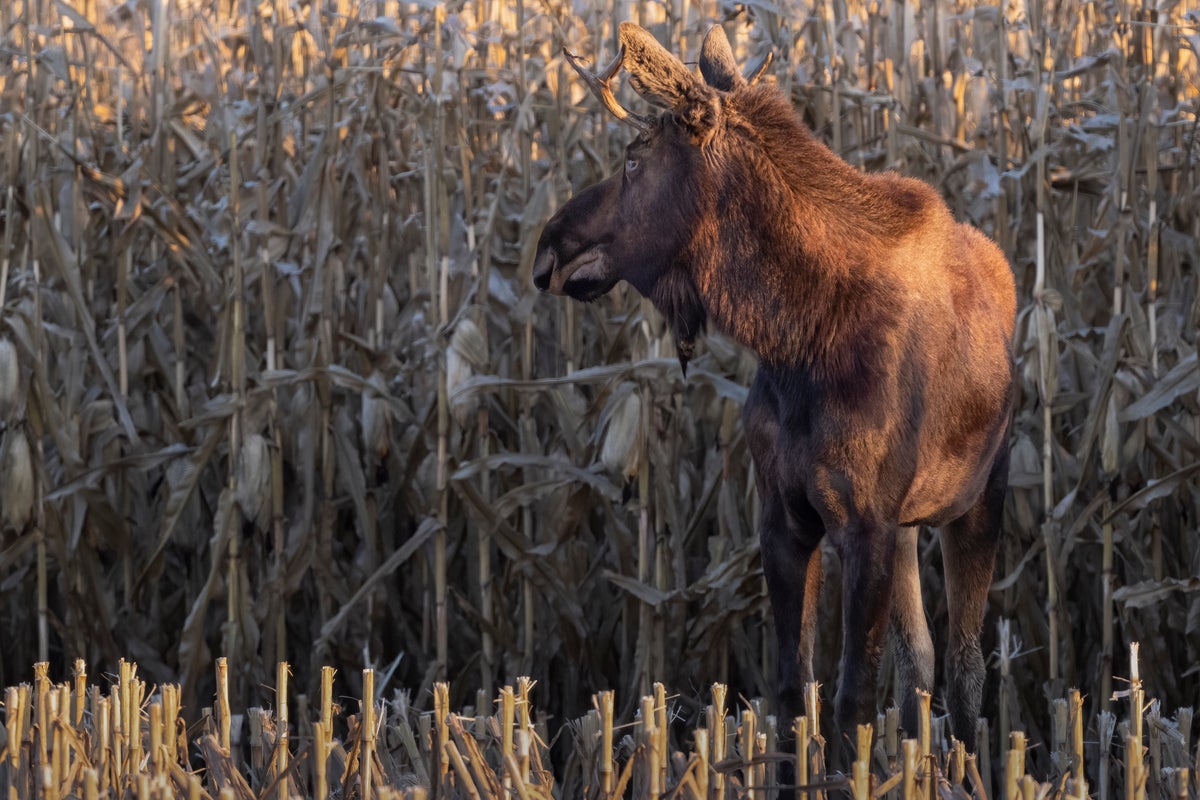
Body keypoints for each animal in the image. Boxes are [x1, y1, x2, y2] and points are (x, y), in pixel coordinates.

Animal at [533, 22, 1016, 754]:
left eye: (636, 159)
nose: (547, 247)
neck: (797, 341)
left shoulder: (867, 523)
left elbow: (853, 703)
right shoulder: (785, 515)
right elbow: (792, 693)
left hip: (979, 498)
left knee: (964, 670)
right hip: (910, 527)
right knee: (921, 666)